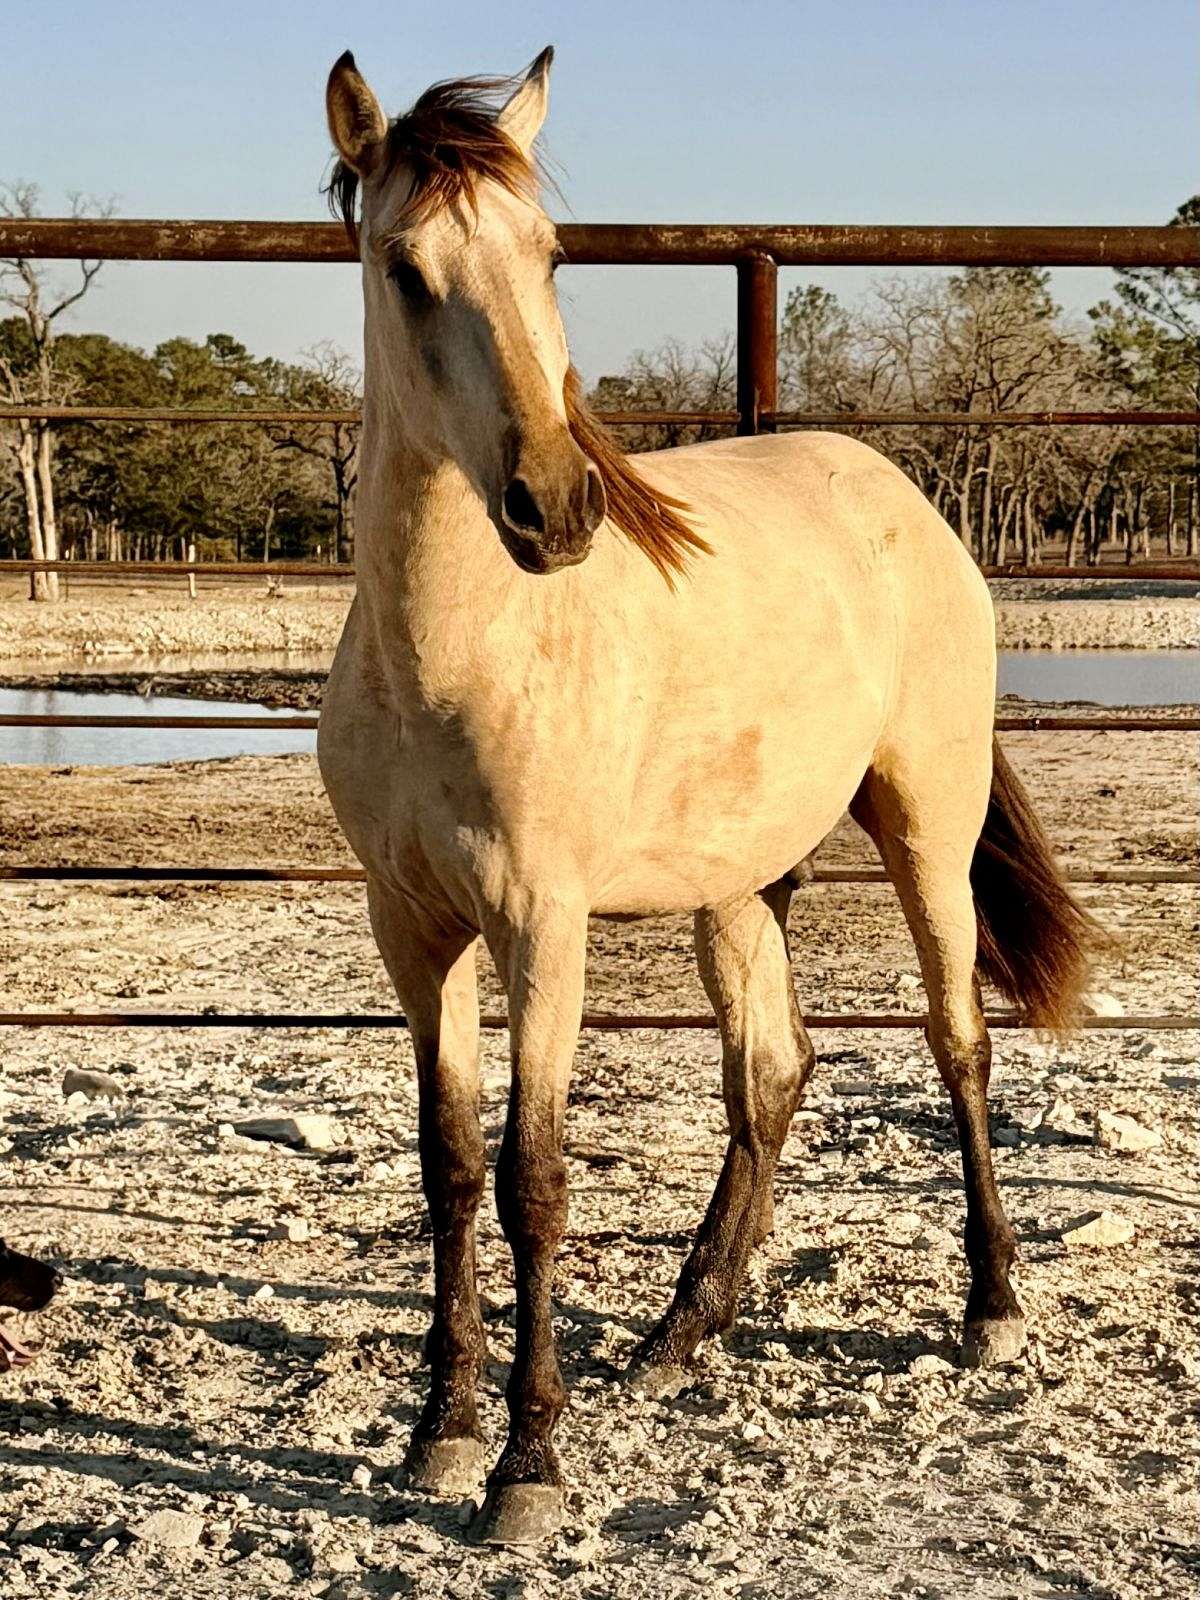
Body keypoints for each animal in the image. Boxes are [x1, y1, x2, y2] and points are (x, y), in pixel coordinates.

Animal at [317, 46, 1094, 1545]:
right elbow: (447, 1166)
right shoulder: (413, 928)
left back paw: (991, 1309)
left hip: (928, 827)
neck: (455, 648)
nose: (555, 509)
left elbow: (533, 1178)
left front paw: (526, 1466)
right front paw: (439, 1434)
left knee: (956, 1040)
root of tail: (902, 492)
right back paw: (686, 1328)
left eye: (550, 253)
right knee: (773, 1071)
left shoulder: (541, 923)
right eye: (402, 266)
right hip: (742, 882)